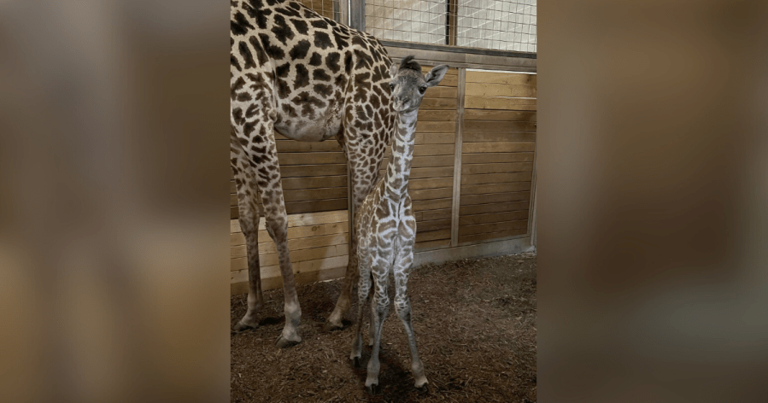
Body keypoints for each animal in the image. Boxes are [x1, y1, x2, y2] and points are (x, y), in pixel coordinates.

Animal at [230, 0, 396, 347]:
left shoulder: (254, 114)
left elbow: (276, 221)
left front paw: (291, 324)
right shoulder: (234, 132)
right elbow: (248, 220)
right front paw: (250, 315)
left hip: (366, 135)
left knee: (363, 217)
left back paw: (340, 314)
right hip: (352, 138)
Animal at [350, 56, 448, 391]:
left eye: (422, 87)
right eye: (392, 84)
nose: (401, 101)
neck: (395, 194)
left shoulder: (404, 255)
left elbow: (402, 306)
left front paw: (420, 374)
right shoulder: (381, 255)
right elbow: (381, 305)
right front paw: (373, 374)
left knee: (374, 297)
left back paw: (368, 342)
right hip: (363, 255)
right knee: (364, 292)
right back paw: (356, 350)